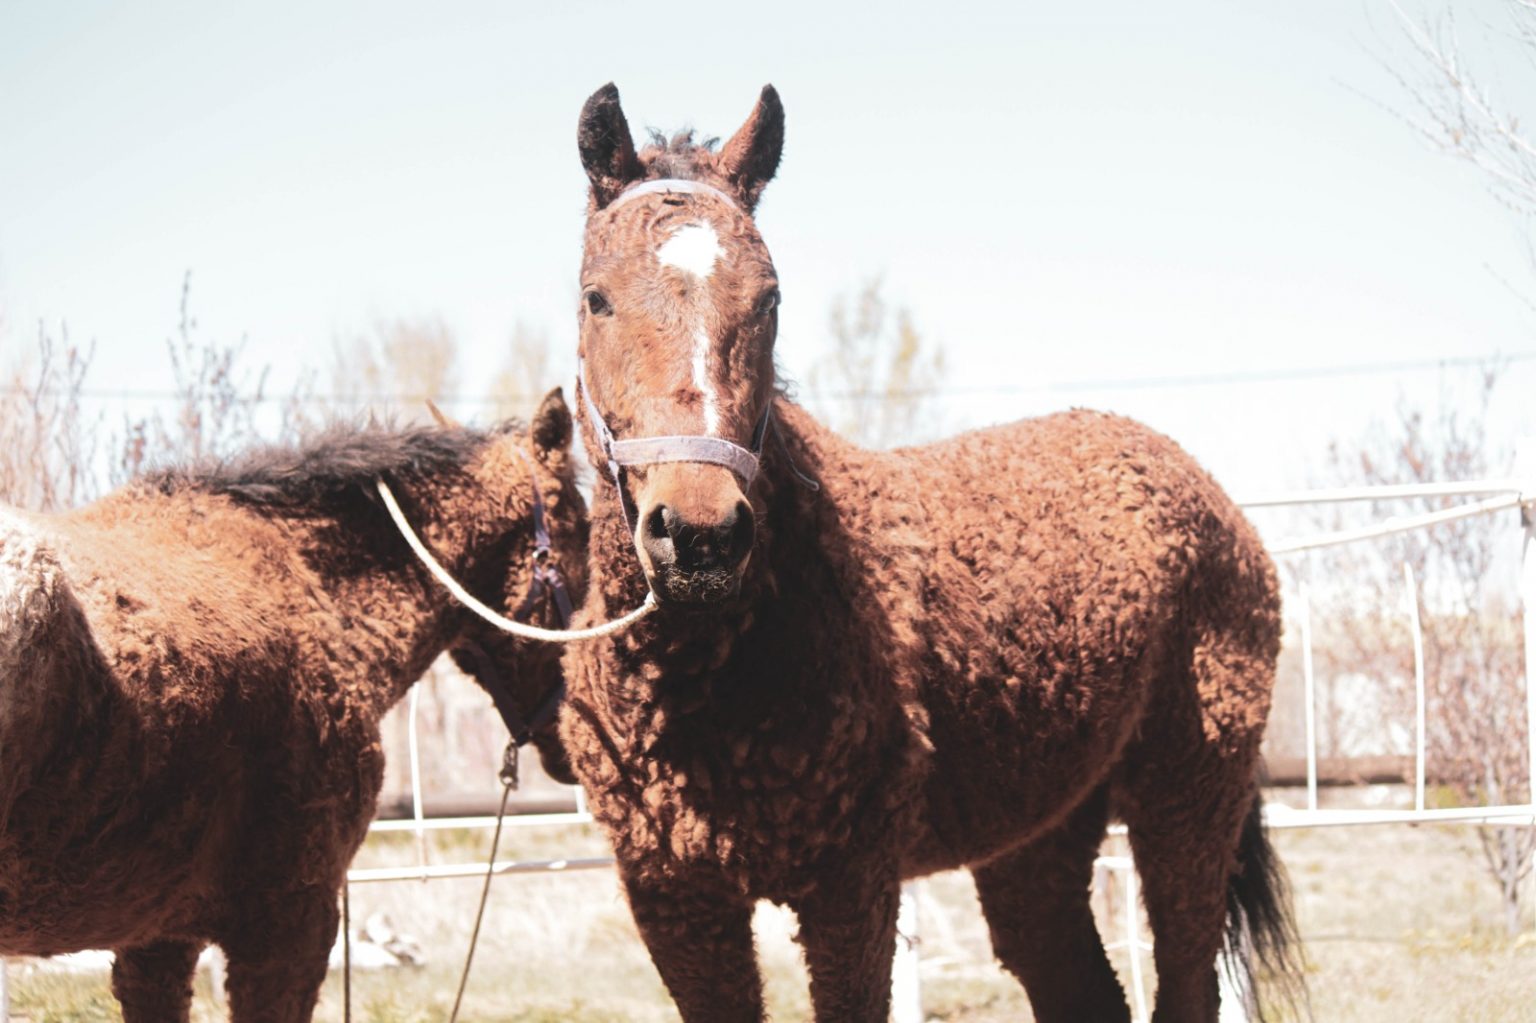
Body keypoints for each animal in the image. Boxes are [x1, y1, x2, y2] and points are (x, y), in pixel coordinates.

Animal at [559, 83, 1304, 1023]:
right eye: (597, 297)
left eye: (769, 299)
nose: (701, 535)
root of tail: (1197, 481)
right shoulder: (679, 903)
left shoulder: (852, 887)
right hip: (1043, 832)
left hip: (1190, 797)